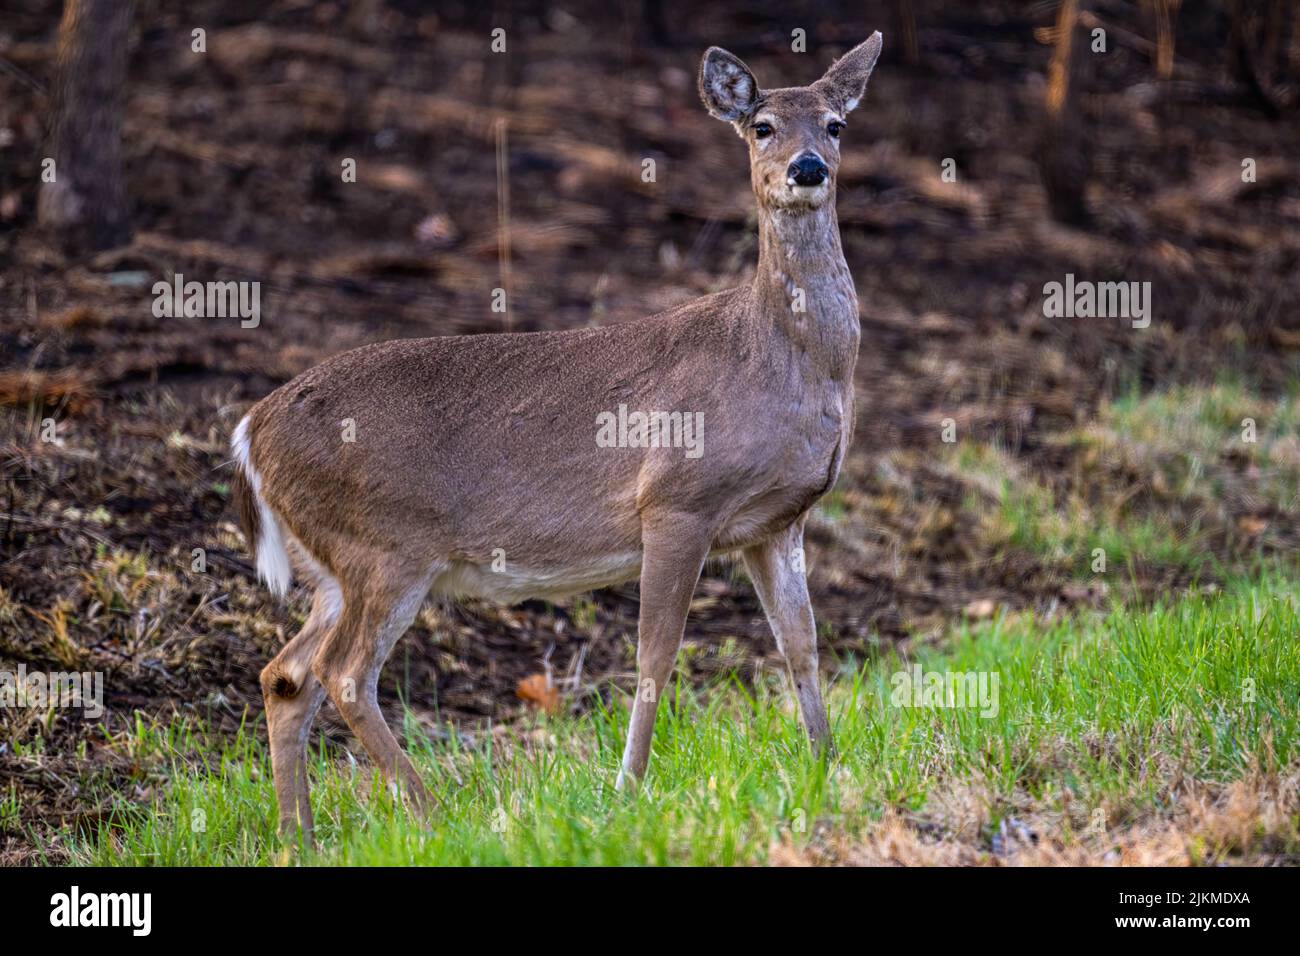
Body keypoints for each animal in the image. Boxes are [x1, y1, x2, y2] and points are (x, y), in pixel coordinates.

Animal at [231, 32, 883, 840]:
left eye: (835, 124)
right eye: (761, 126)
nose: (808, 168)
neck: (779, 358)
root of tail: (251, 431)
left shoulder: (775, 522)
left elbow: (802, 645)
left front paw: (828, 768)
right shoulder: (677, 500)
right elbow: (654, 658)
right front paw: (628, 790)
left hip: (331, 566)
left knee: (286, 674)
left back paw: (299, 837)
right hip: (384, 545)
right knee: (343, 673)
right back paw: (434, 813)